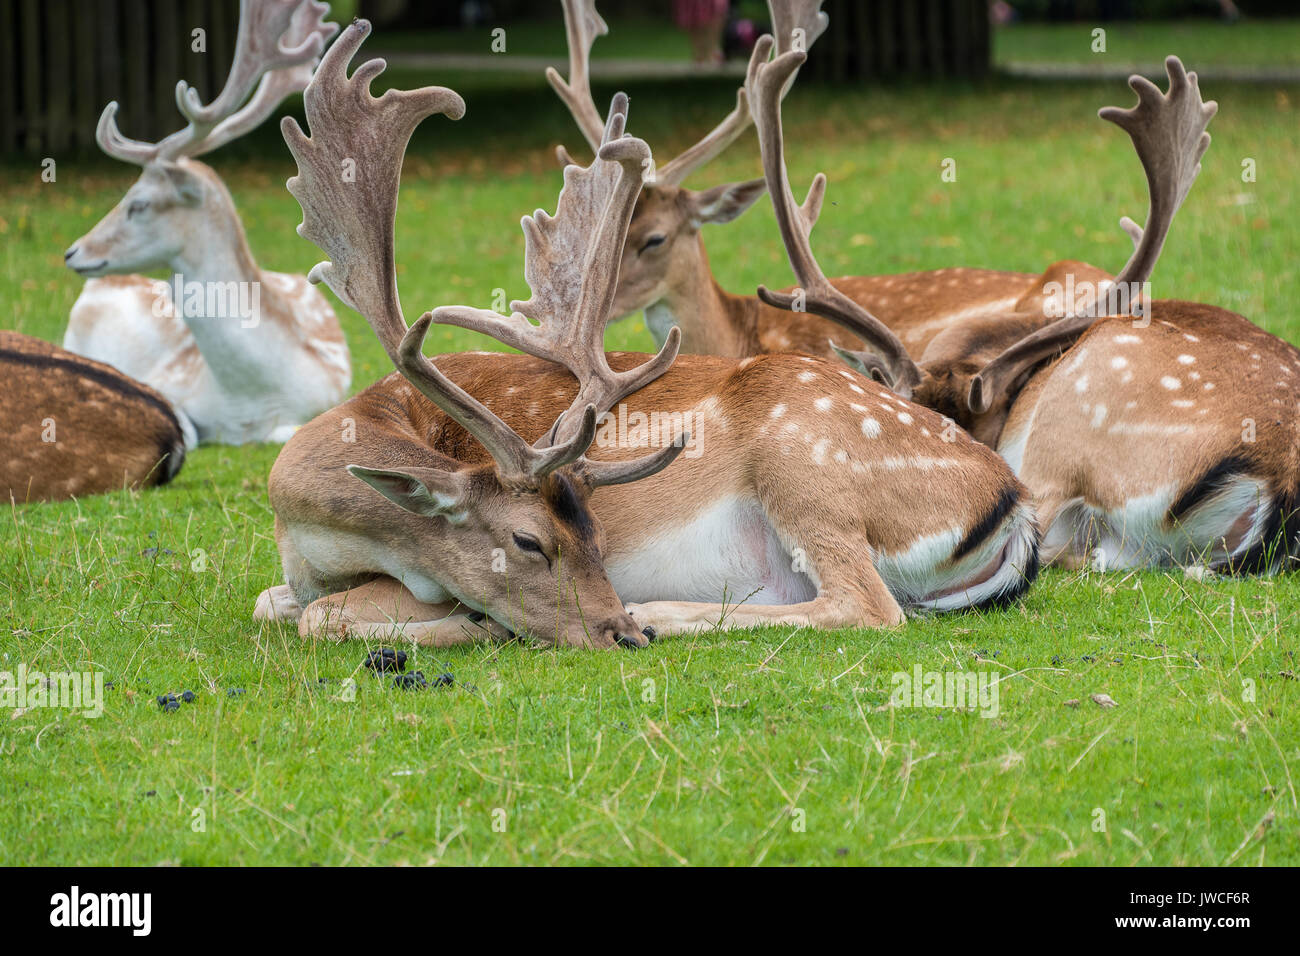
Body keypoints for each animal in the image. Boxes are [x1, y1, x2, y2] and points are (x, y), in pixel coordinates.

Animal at [253, 20, 1041, 647]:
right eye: (529, 541)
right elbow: (274, 602)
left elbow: (322, 615)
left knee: (867, 603)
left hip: (807, 462)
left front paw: (474, 622)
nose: (612, 628)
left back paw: (660, 612)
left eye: (597, 535)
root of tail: (1016, 505)